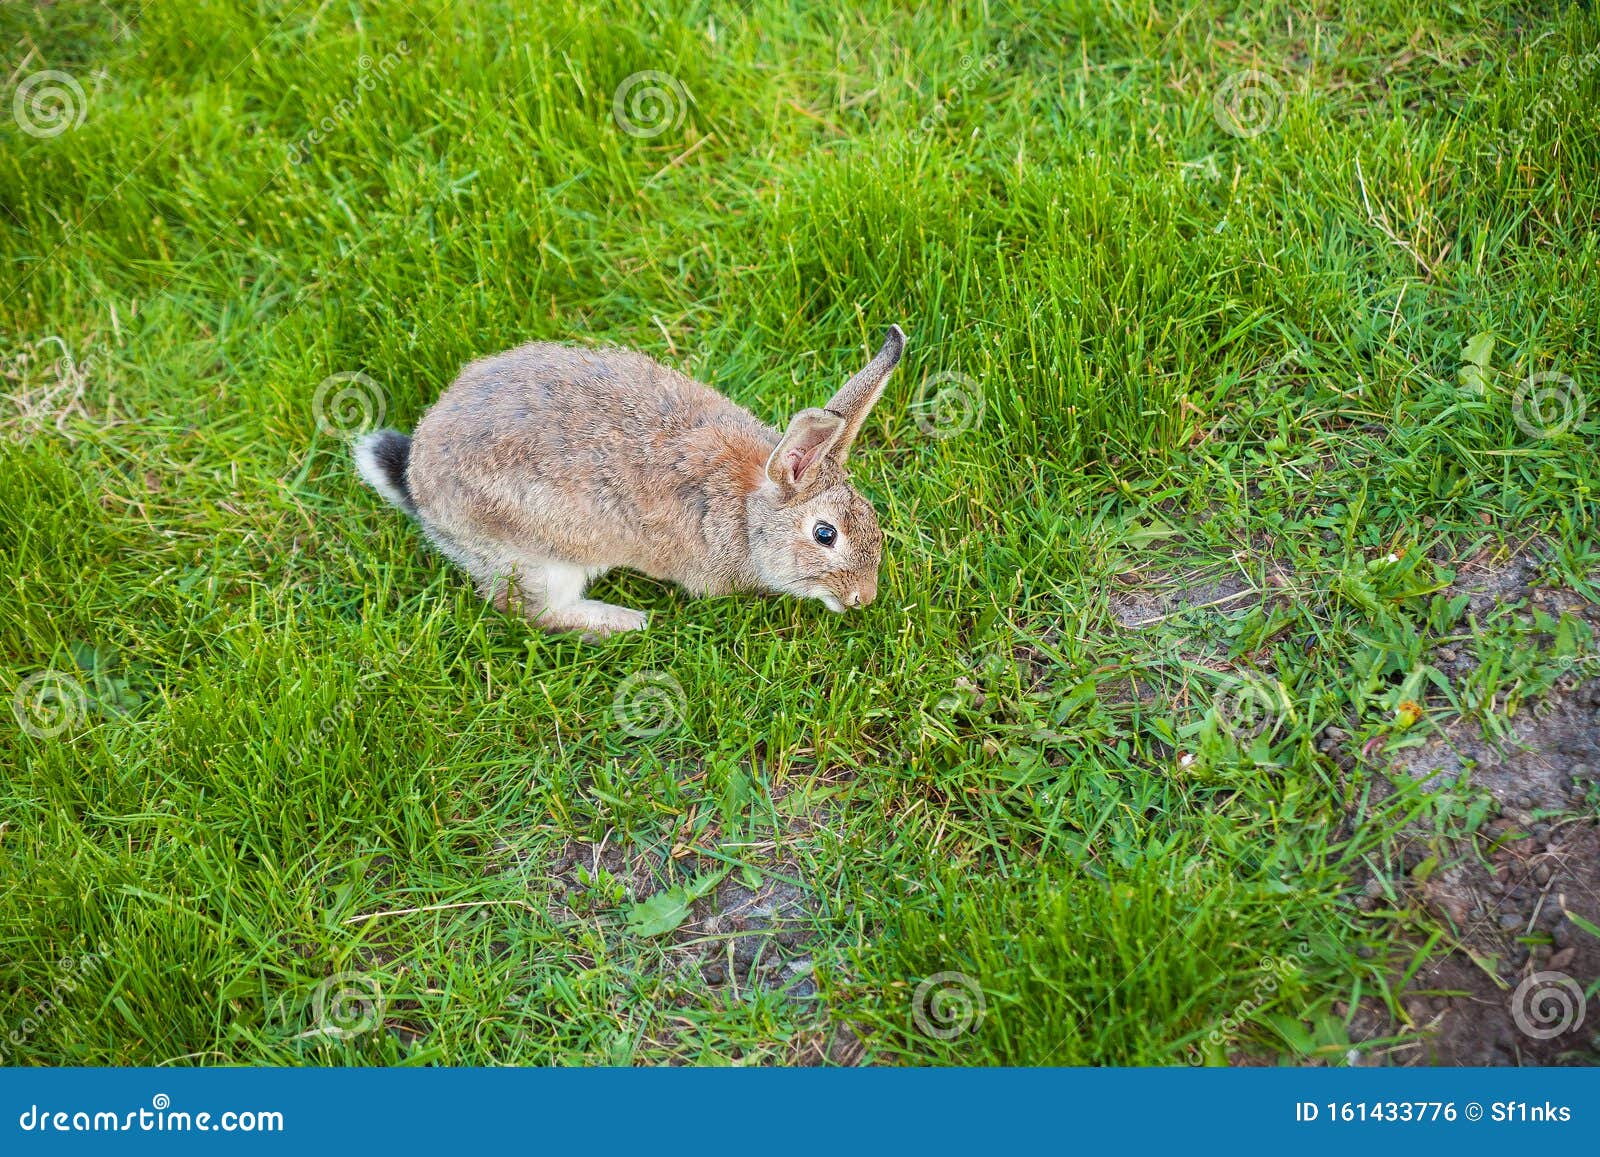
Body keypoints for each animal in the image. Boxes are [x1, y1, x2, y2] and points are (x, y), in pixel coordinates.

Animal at [353, 325, 905, 637]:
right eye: (825, 534)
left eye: (872, 519)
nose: (865, 597)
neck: (748, 509)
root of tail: (418, 489)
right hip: (538, 559)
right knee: (534, 613)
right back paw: (624, 622)